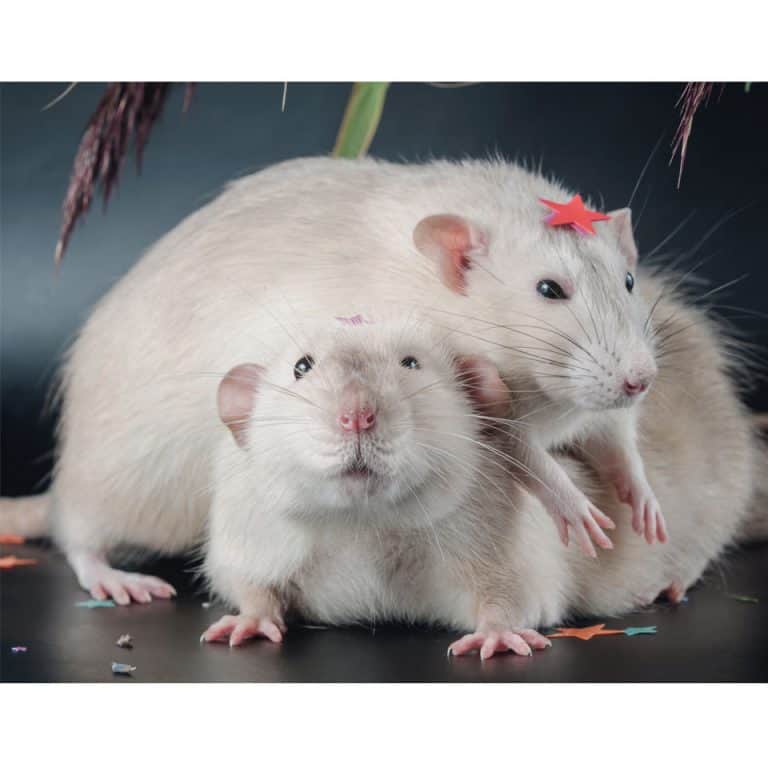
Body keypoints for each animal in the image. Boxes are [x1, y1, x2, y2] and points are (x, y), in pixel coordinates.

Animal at [0, 156, 763, 604]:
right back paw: (109, 572)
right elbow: (511, 445)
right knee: (79, 530)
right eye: (549, 289)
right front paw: (567, 497)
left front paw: (639, 492)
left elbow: (613, 436)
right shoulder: (468, 386)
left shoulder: (597, 401)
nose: (641, 380)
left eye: (630, 282)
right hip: (133, 484)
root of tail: (66, 473)